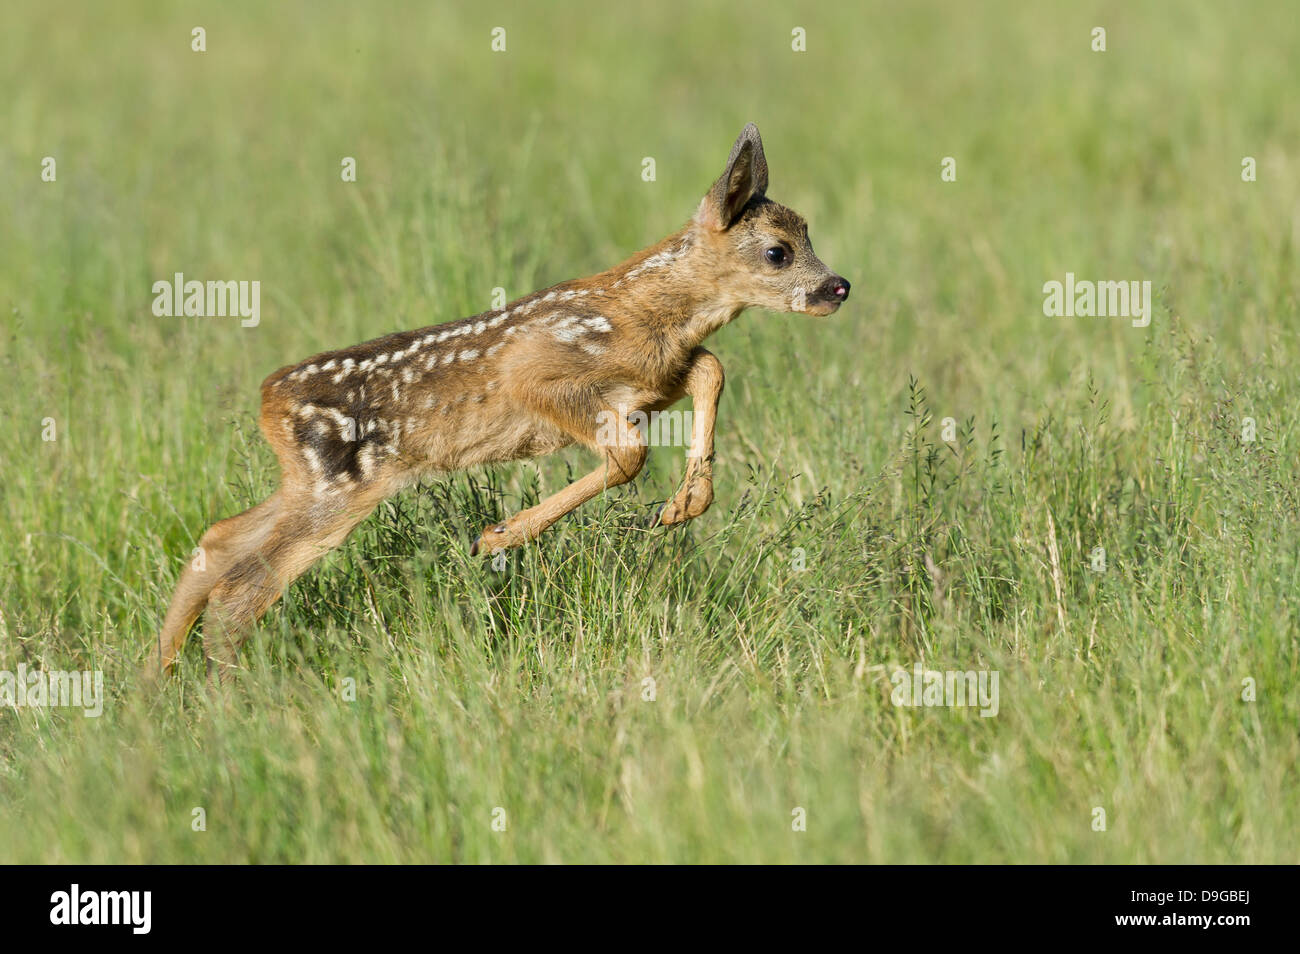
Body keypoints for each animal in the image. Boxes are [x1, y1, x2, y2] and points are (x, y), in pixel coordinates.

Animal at [145, 122, 850, 685]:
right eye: (778, 251)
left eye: (810, 234)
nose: (838, 286)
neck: (645, 314)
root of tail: (268, 399)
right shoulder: (537, 378)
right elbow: (629, 453)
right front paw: (498, 536)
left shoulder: (655, 379)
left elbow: (710, 370)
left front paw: (685, 504)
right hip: (336, 491)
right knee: (240, 589)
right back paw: (227, 698)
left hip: (307, 484)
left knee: (219, 539)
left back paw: (155, 682)